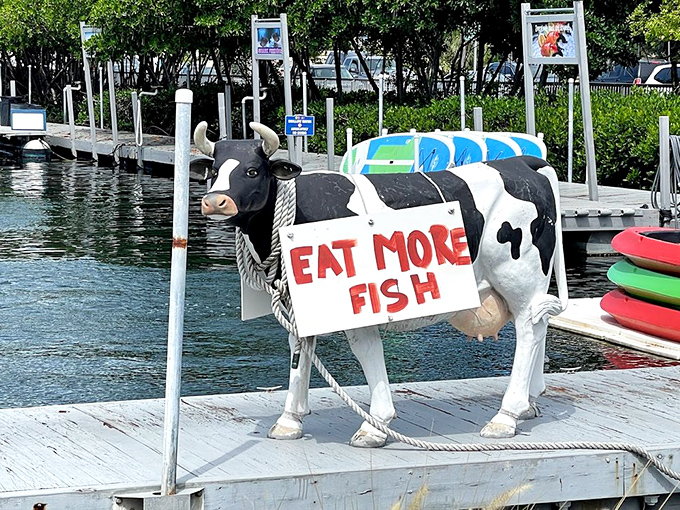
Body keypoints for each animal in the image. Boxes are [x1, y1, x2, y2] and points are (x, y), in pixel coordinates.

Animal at [194, 120, 568, 447]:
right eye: (214, 171)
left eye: (252, 171)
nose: (214, 200)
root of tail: (523, 163)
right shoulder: (302, 303)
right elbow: (299, 350)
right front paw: (289, 421)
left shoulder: (359, 301)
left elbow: (366, 350)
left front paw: (375, 426)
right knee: (539, 323)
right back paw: (529, 404)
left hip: (518, 274)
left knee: (529, 328)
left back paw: (506, 416)